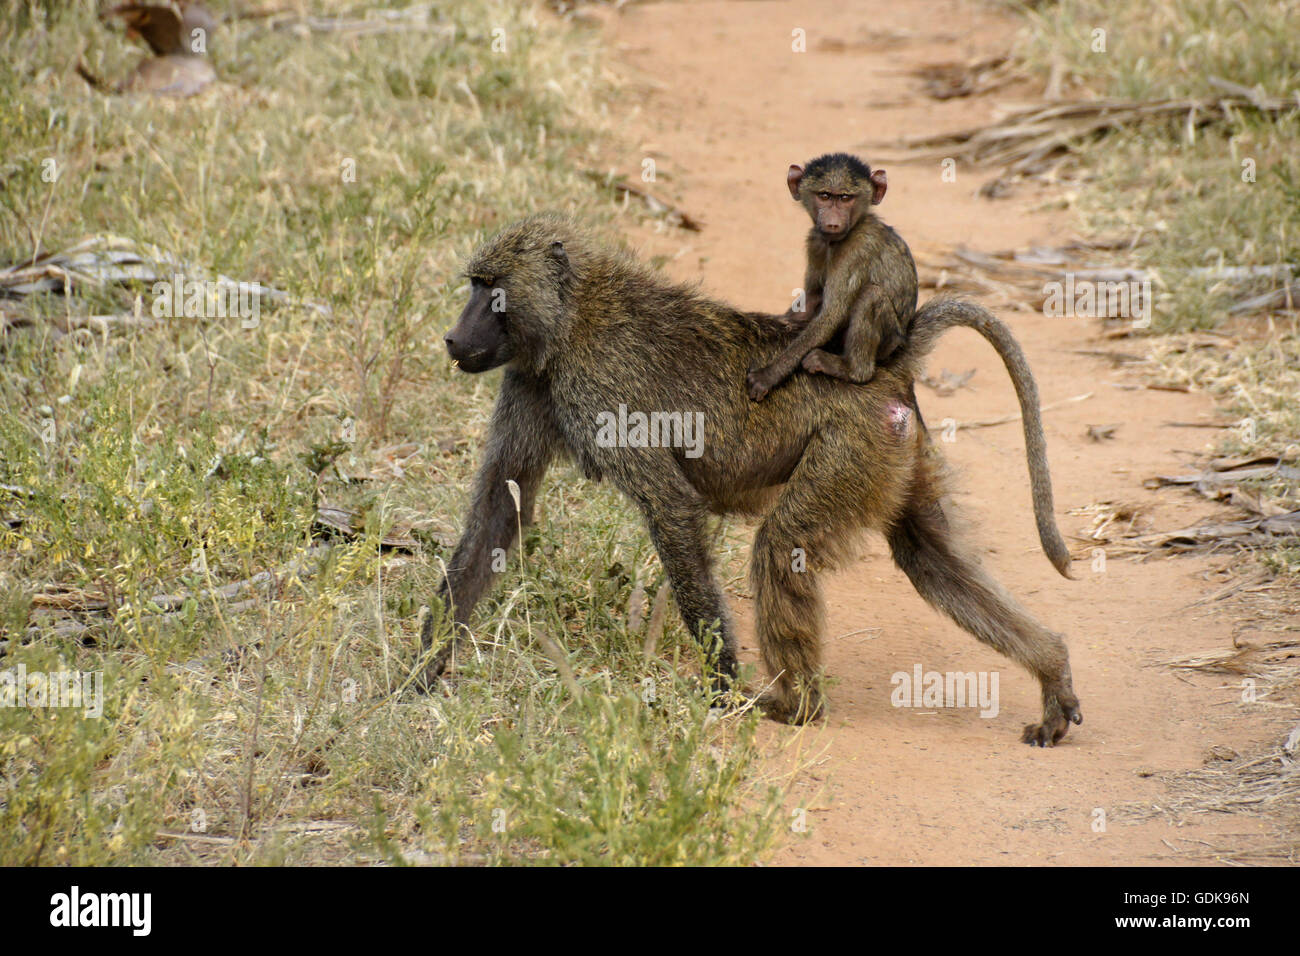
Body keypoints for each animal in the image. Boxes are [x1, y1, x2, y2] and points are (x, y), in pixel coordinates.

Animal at [423, 213, 1080, 746]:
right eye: (475, 285)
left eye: (492, 291)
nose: (454, 338)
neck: (571, 319)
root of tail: (883, 367)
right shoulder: (528, 382)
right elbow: (497, 514)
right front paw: (420, 669)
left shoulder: (603, 389)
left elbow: (671, 507)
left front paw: (720, 680)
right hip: (893, 457)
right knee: (930, 560)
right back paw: (1052, 670)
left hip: (849, 449)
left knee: (780, 547)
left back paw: (797, 705)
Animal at [747, 153, 917, 403]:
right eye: (825, 196)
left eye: (845, 198)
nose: (833, 223)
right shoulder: (815, 241)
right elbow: (811, 299)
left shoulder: (857, 247)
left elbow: (831, 314)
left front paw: (768, 375)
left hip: (888, 342)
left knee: (871, 295)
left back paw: (852, 370)